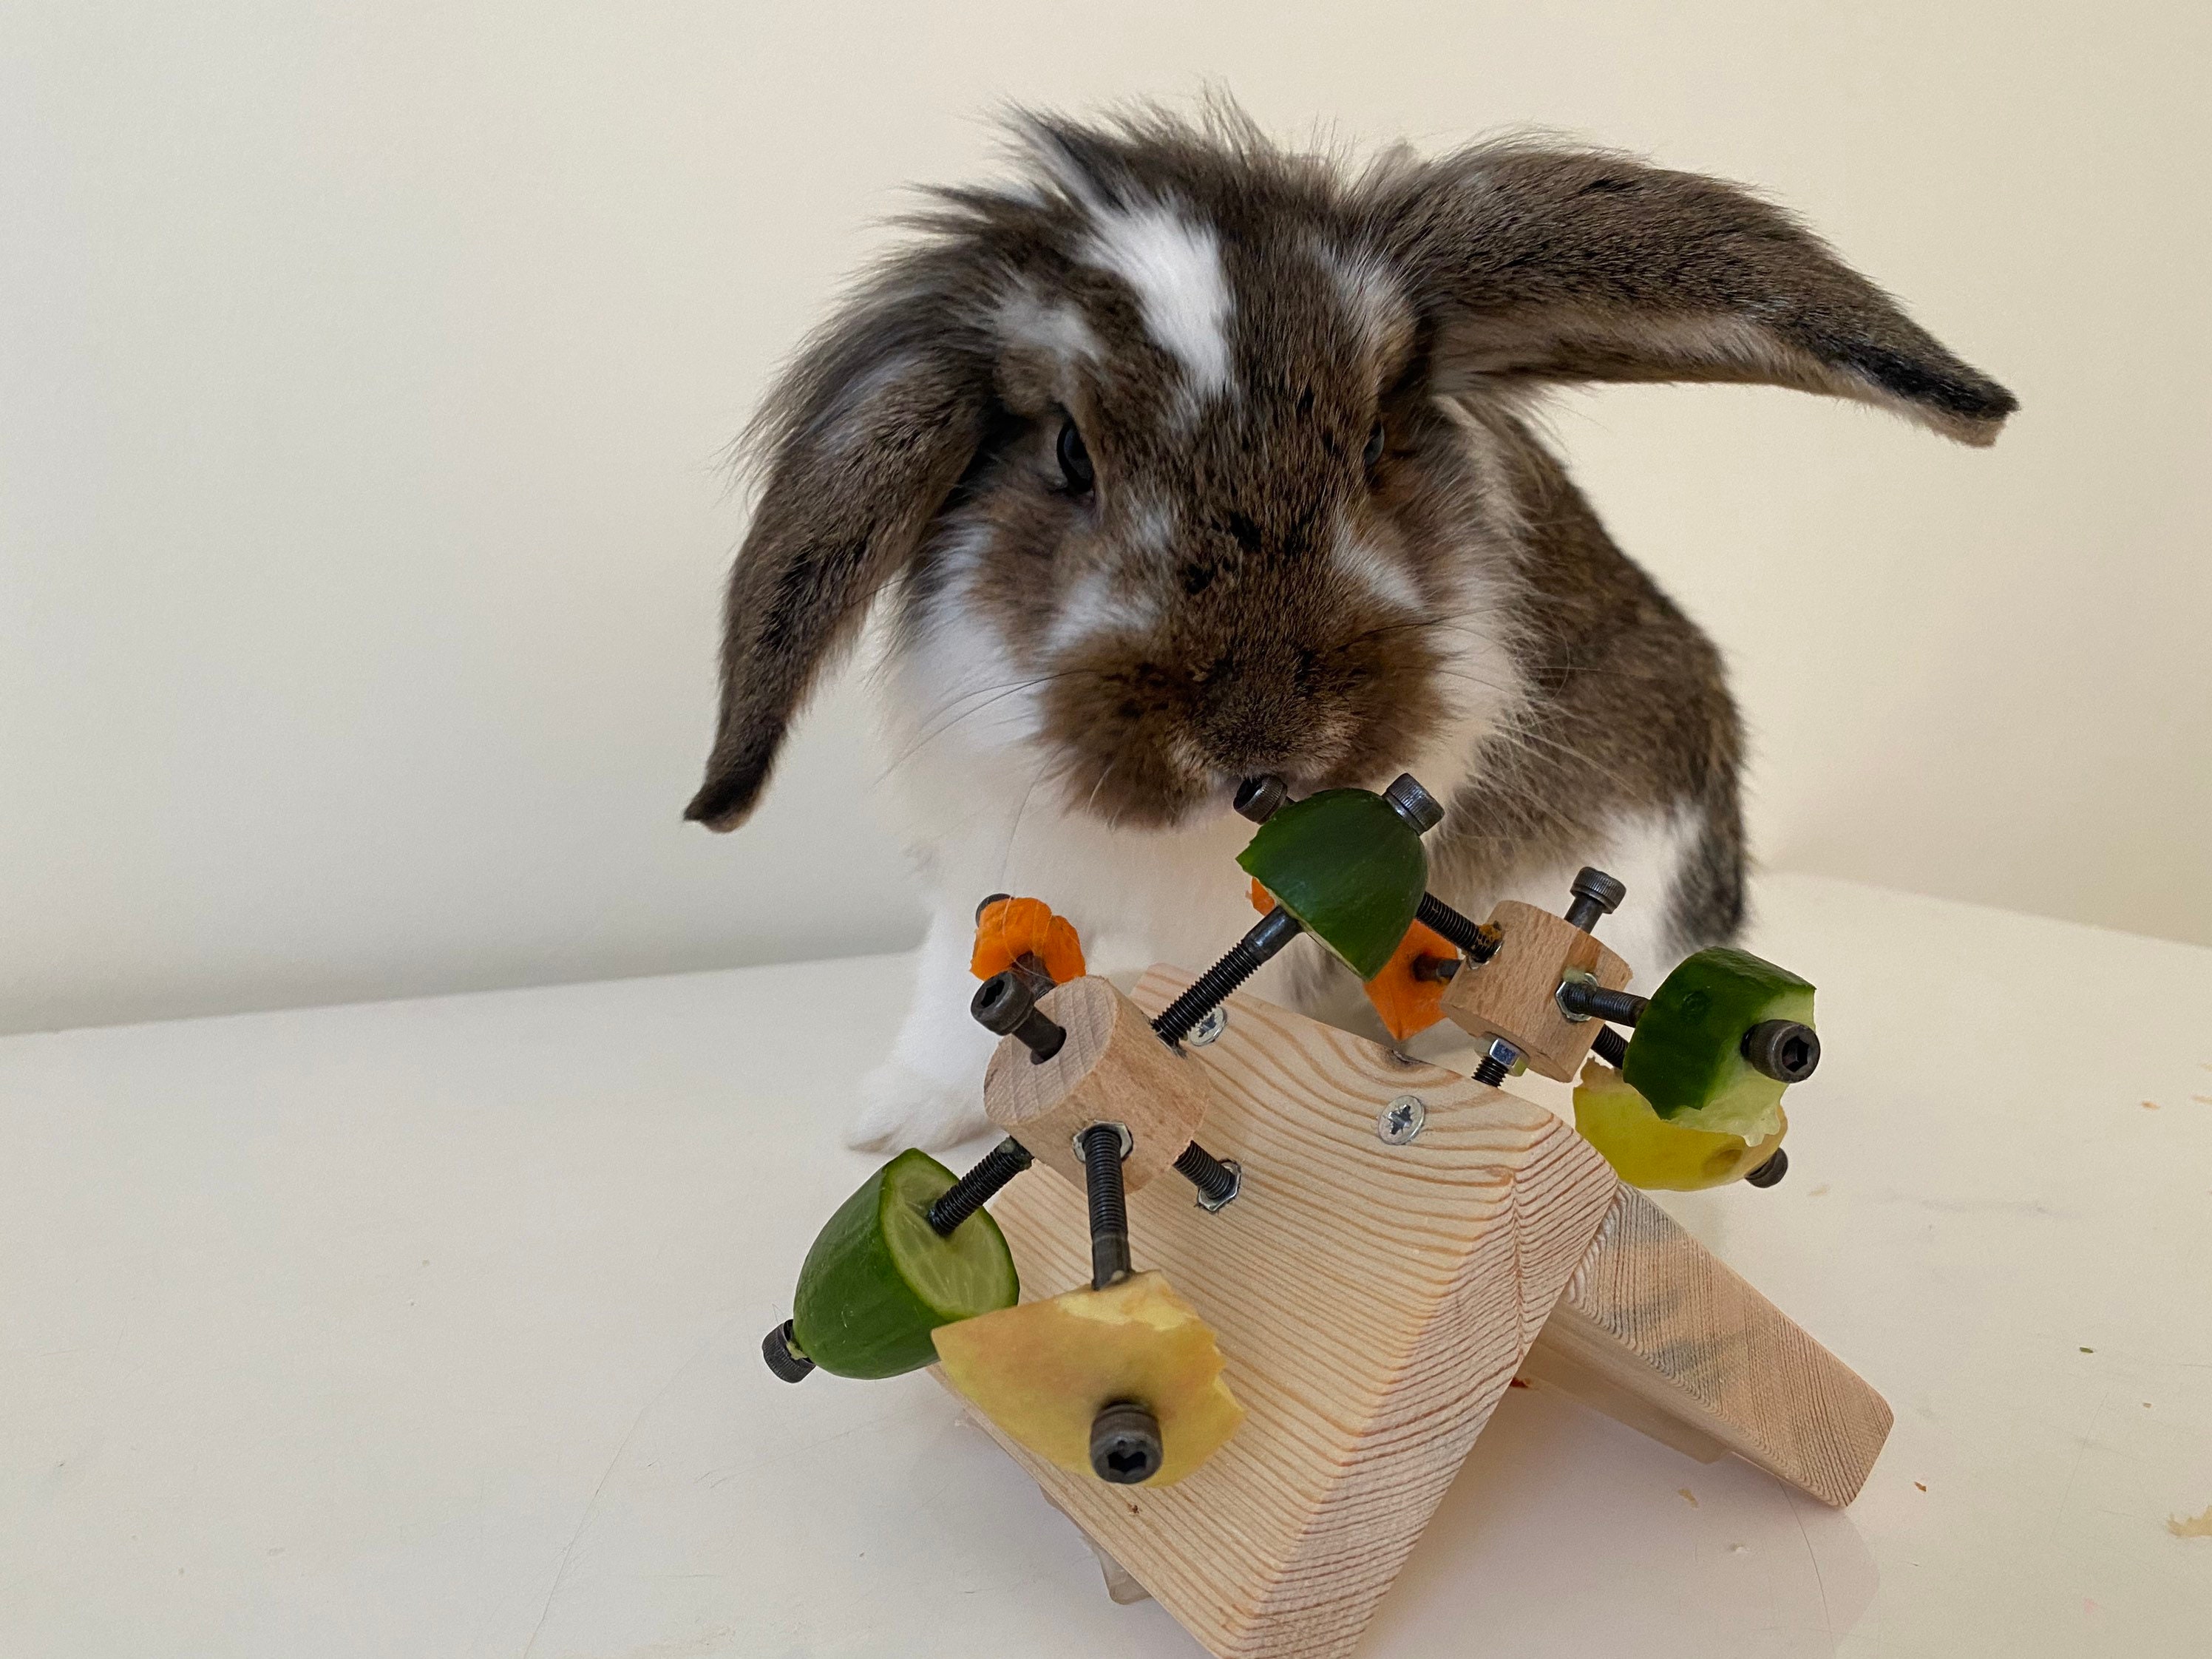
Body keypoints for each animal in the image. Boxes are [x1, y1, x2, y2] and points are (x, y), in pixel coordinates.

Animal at [684, 103, 2014, 1152]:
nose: (1259, 732)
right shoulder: (997, 859)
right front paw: (899, 1118)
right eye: (1067, 453)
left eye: (1374, 439)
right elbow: (957, 994)